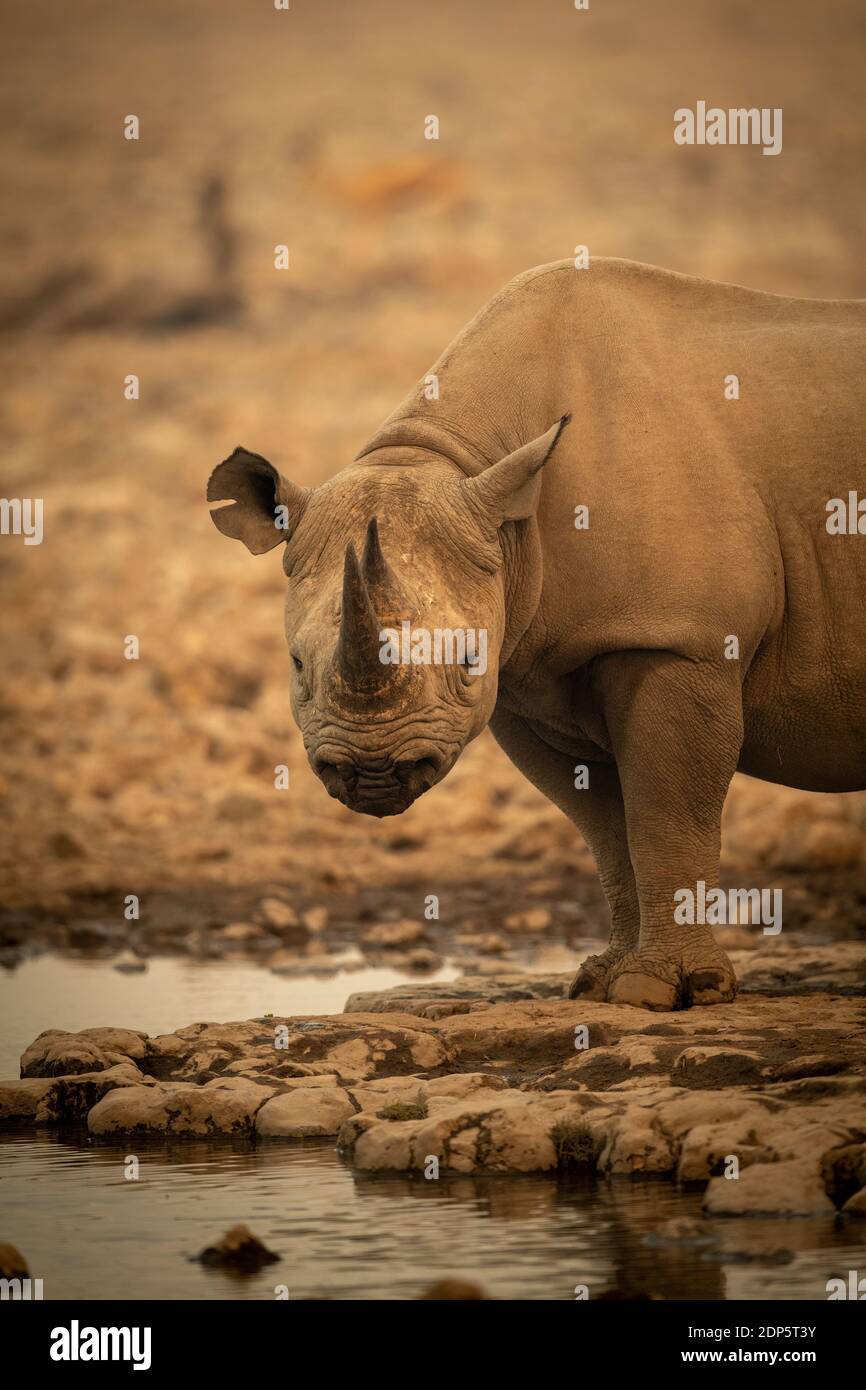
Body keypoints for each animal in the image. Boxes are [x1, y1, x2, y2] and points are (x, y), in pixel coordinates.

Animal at [207, 257, 866, 1011]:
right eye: (294, 665)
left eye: (469, 660)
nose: (372, 773)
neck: (464, 461)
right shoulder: (532, 676)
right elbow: (608, 829)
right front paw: (602, 982)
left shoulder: (678, 640)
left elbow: (667, 815)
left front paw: (662, 991)